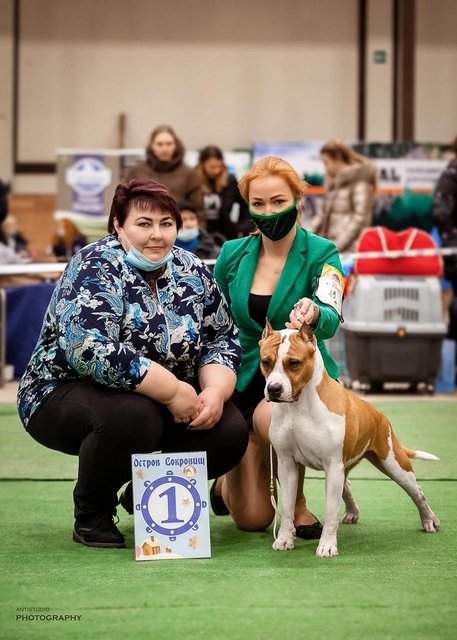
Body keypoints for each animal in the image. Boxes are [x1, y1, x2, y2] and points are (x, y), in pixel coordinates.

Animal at [258, 322, 440, 556]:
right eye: (266, 362)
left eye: (294, 363)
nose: (274, 389)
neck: (301, 405)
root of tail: (379, 414)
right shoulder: (288, 463)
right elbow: (288, 507)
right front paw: (284, 539)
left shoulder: (332, 464)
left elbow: (329, 511)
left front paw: (327, 546)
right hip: (345, 467)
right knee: (348, 486)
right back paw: (352, 513)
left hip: (394, 464)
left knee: (417, 492)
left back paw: (429, 520)